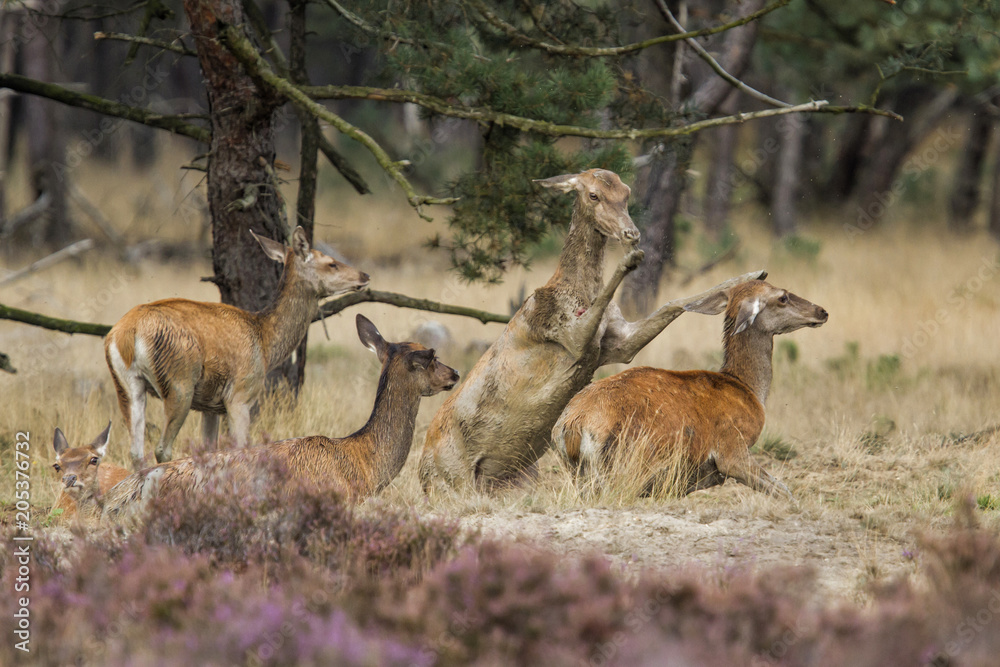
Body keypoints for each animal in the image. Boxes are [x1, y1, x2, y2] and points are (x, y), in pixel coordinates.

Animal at [104, 226, 370, 470]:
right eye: (331, 263)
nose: (365, 275)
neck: (266, 343)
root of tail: (126, 333)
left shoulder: (210, 406)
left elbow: (208, 452)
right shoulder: (240, 395)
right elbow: (241, 449)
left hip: (127, 385)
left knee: (136, 452)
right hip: (179, 383)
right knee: (162, 448)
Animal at [418, 168, 766, 493]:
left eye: (626, 191)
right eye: (593, 194)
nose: (631, 233)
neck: (575, 291)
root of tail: (422, 471)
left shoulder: (618, 344)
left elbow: (674, 303)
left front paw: (752, 275)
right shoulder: (566, 334)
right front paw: (630, 260)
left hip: (510, 478)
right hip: (453, 477)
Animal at [551, 280, 828, 501]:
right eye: (782, 296)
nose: (822, 311)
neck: (749, 389)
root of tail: (572, 426)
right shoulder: (732, 449)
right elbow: (783, 491)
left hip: (577, 474)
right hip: (628, 466)